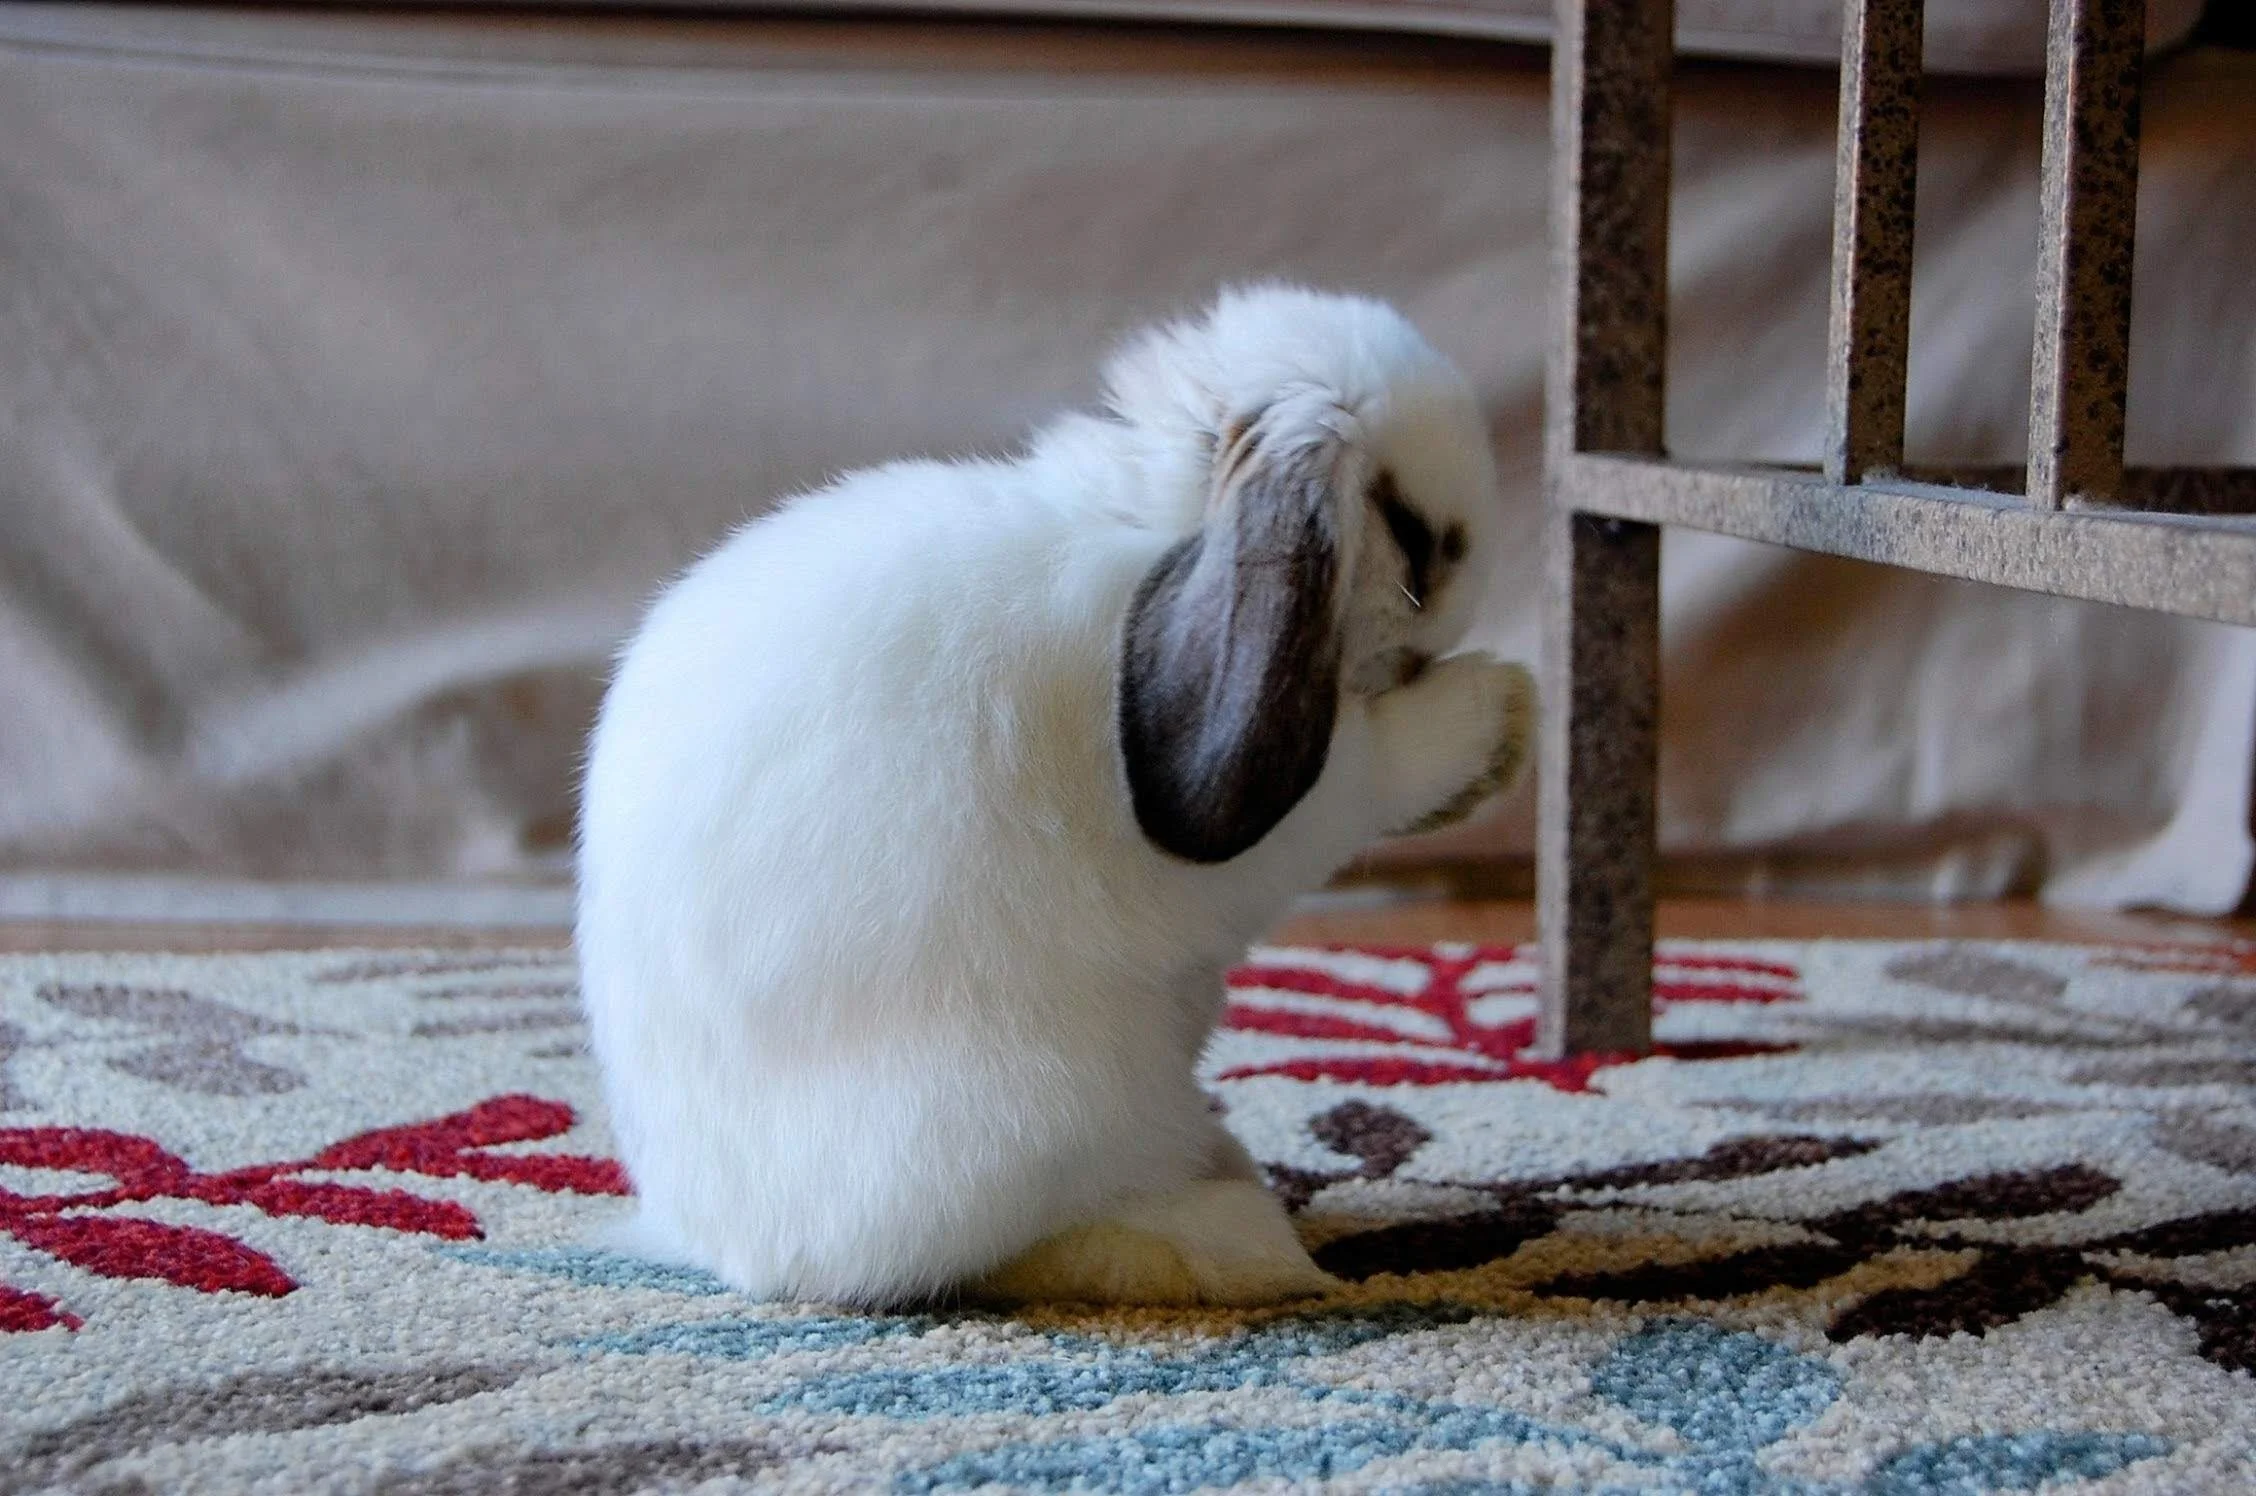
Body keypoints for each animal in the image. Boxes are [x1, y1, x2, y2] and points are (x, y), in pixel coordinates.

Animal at [576, 285, 1533, 1308]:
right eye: (1414, 538)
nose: (1440, 637)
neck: (1146, 531)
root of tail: (707, 1234)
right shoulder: (1270, 823)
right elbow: (1368, 767)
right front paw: (1501, 708)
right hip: (1038, 1111)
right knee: (1012, 1247)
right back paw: (1239, 1246)